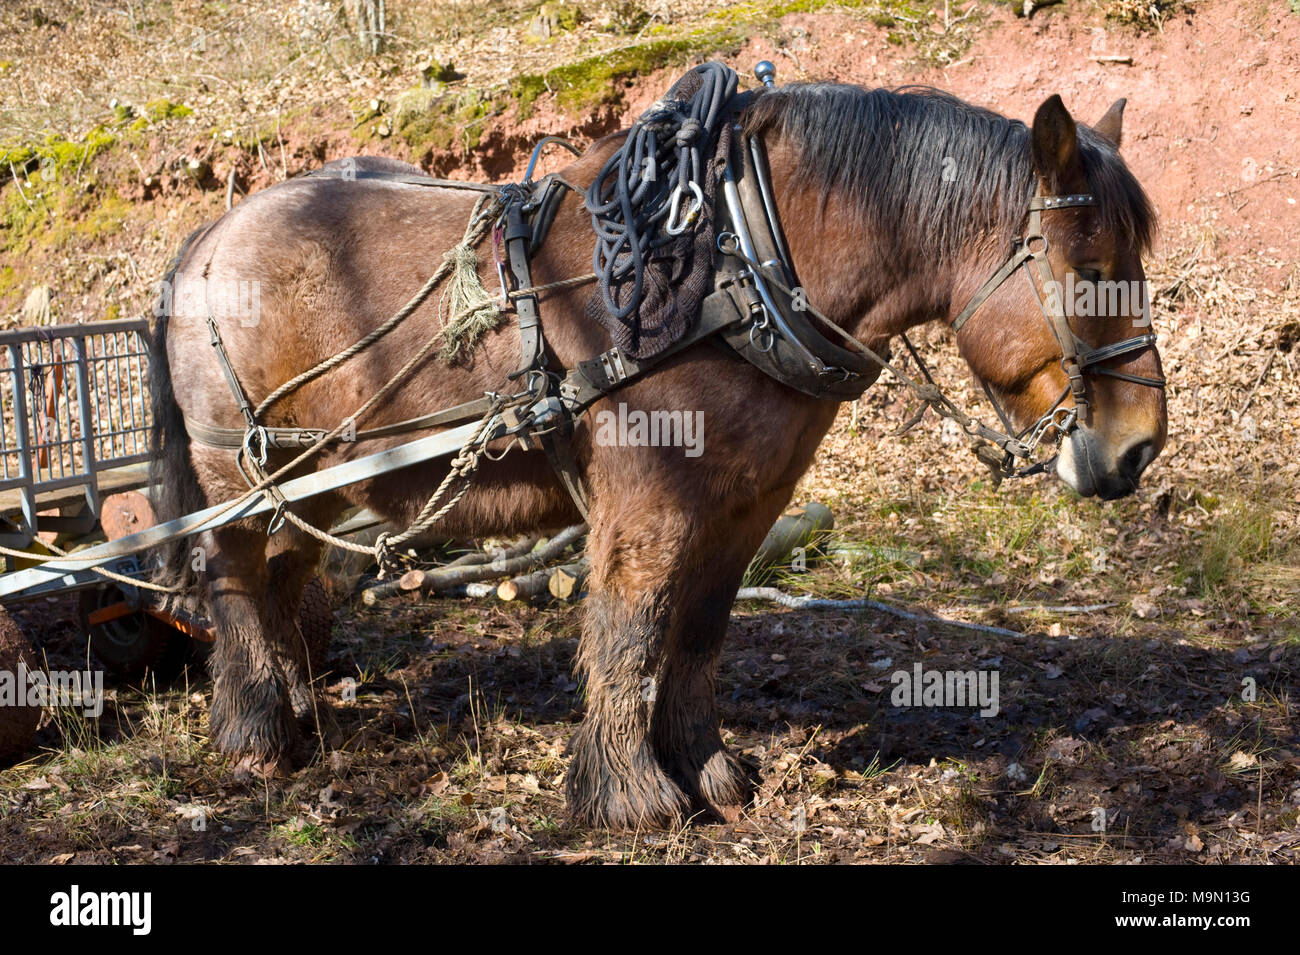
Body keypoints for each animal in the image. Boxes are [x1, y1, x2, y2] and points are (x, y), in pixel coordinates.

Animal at [148, 80, 1166, 829]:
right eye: (1090, 270)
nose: (1140, 446)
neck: (734, 267)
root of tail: (207, 238)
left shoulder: (748, 501)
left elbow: (700, 630)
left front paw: (708, 771)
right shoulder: (652, 502)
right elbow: (632, 629)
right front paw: (631, 793)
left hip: (308, 476)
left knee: (284, 574)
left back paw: (297, 711)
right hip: (236, 473)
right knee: (236, 579)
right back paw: (253, 731)